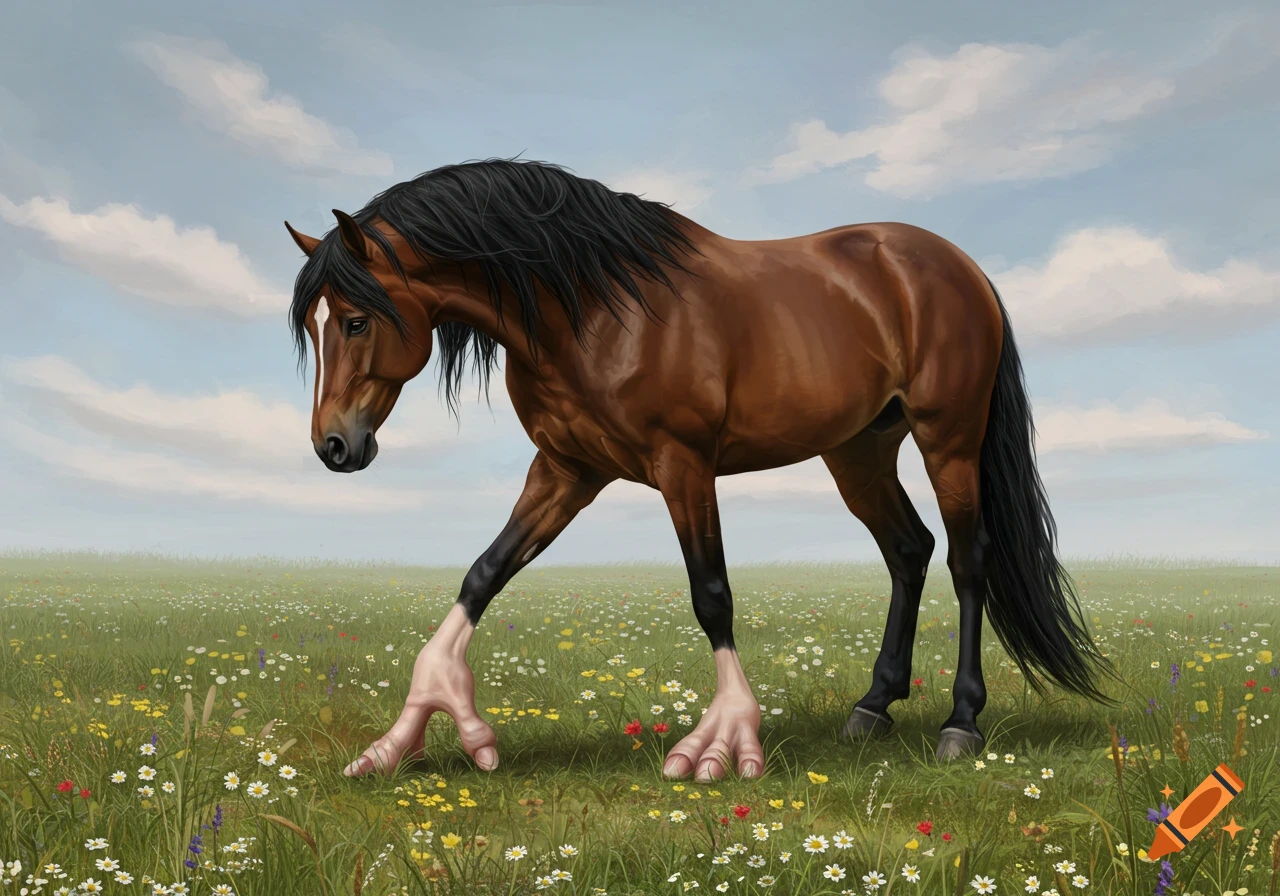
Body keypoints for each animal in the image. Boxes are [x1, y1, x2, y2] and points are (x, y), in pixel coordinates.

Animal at [283, 158, 1111, 783]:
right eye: (316, 326)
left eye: (355, 320)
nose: (334, 447)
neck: (590, 309)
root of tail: (959, 266)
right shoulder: (567, 470)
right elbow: (483, 574)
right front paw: (412, 729)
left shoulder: (683, 465)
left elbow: (712, 596)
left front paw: (722, 746)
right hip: (859, 450)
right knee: (909, 550)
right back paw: (872, 708)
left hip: (949, 438)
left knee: (969, 561)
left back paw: (960, 722)